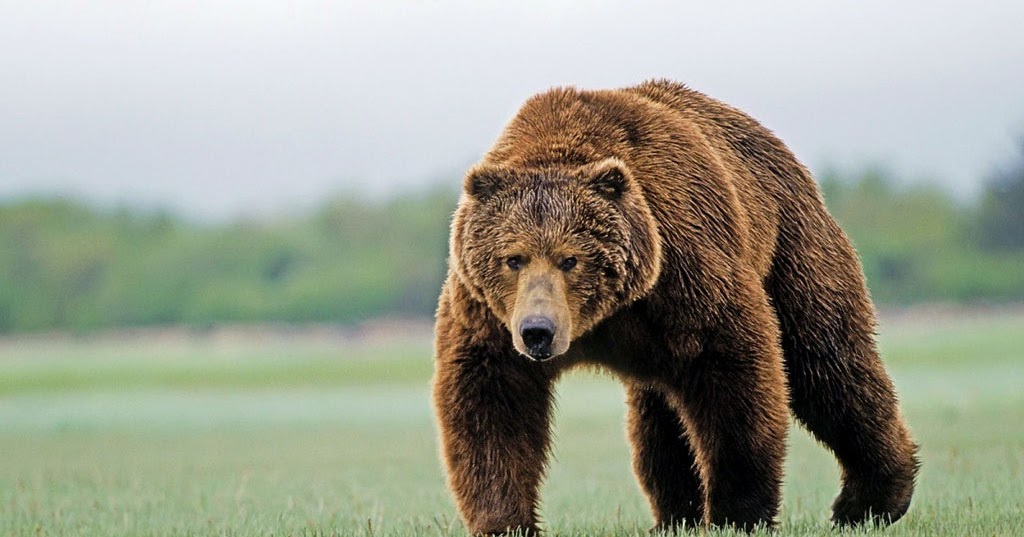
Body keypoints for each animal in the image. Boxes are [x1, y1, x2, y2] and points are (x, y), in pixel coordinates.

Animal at [432, 80, 919, 535]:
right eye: (513, 258)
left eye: (570, 258)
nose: (538, 331)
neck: (604, 317)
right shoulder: (487, 315)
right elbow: (492, 403)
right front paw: (505, 520)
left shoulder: (685, 270)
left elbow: (735, 377)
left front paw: (737, 513)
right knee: (659, 418)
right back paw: (675, 515)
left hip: (791, 246)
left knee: (828, 363)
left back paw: (870, 501)